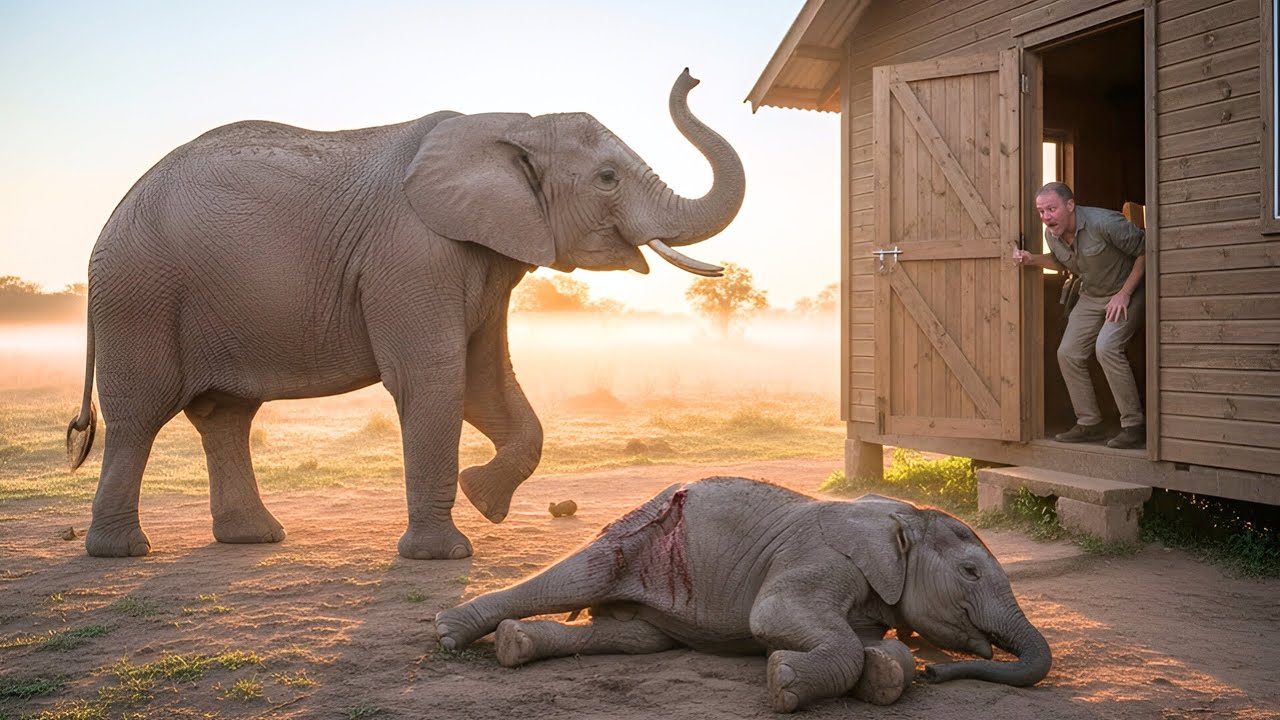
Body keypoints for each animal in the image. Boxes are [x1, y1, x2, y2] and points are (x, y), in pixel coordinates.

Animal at [64, 69, 745, 560]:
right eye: (606, 179)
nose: (693, 76)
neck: (512, 124)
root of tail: (111, 215)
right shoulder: (414, 255)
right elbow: (434, 379)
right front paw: (446, 553)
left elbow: (485, 381)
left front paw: (484, 499)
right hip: (141, 293)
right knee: (141, 414)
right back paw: (122, 552)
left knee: (225, 416)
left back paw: (254, 538)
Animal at [434, 477, 1052, 713]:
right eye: (970, 572)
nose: (938, 671)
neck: (903, 515)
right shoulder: (819, 557)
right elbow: (772, 616)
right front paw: (784, 682)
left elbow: (867, 642)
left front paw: (888, 672)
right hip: (639, 533)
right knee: (580, 578)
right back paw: (448, 632)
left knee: (632, 637)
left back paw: (514, 645)